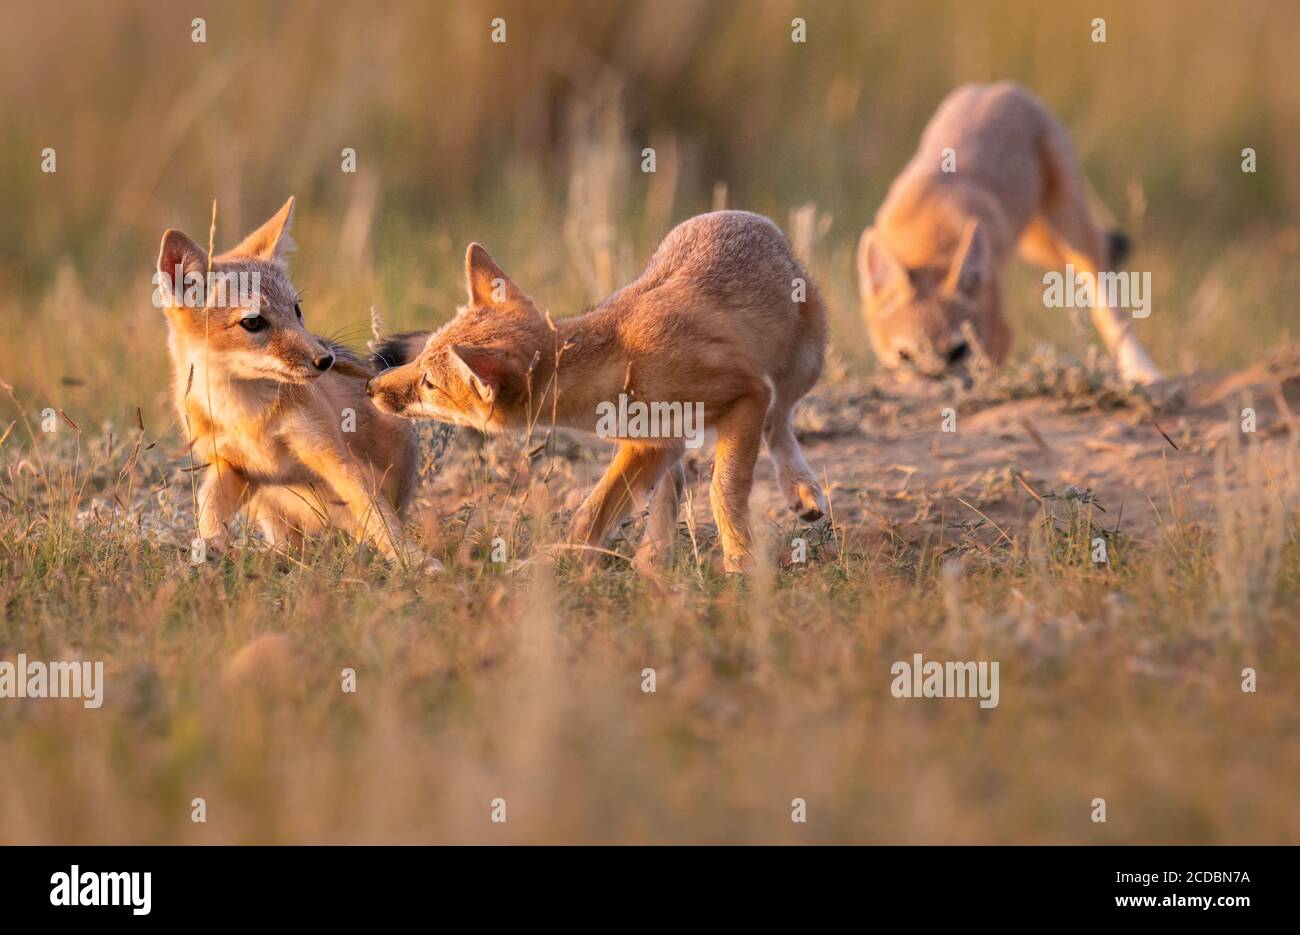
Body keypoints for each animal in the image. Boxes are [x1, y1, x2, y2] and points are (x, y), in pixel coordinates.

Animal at [155, 197, 430, 568]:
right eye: (253, 322)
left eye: (297, 310)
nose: (325, 360)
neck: (247, 416)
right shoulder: (230, 466)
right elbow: (209, 513)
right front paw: (207, 548)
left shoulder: (334, 457)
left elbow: (381, 521)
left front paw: (413, 561)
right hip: (265, 500)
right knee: (288, 542)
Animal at [366, 210, 829, 573]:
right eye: (421, 362)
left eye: (429, 383)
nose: (371, 386)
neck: (624, 362)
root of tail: (749, 217)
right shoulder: (645, 445)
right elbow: (590, 515)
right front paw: (555, 563)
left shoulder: (747, 394)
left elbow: (724, 488)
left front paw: (740, 560)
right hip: (675, 438)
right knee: (676, 476)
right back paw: (653, 553)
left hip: (800, 368)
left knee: (779, 424)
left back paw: (801, 488)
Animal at [857, 81, 1163, 385]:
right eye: (905, 356)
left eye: (958, 352)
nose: (937, 386)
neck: (928, 230)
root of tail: (997, 87)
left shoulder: (1001, 333)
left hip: (1072, 234)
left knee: (1107, 305)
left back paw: (1142, 370)